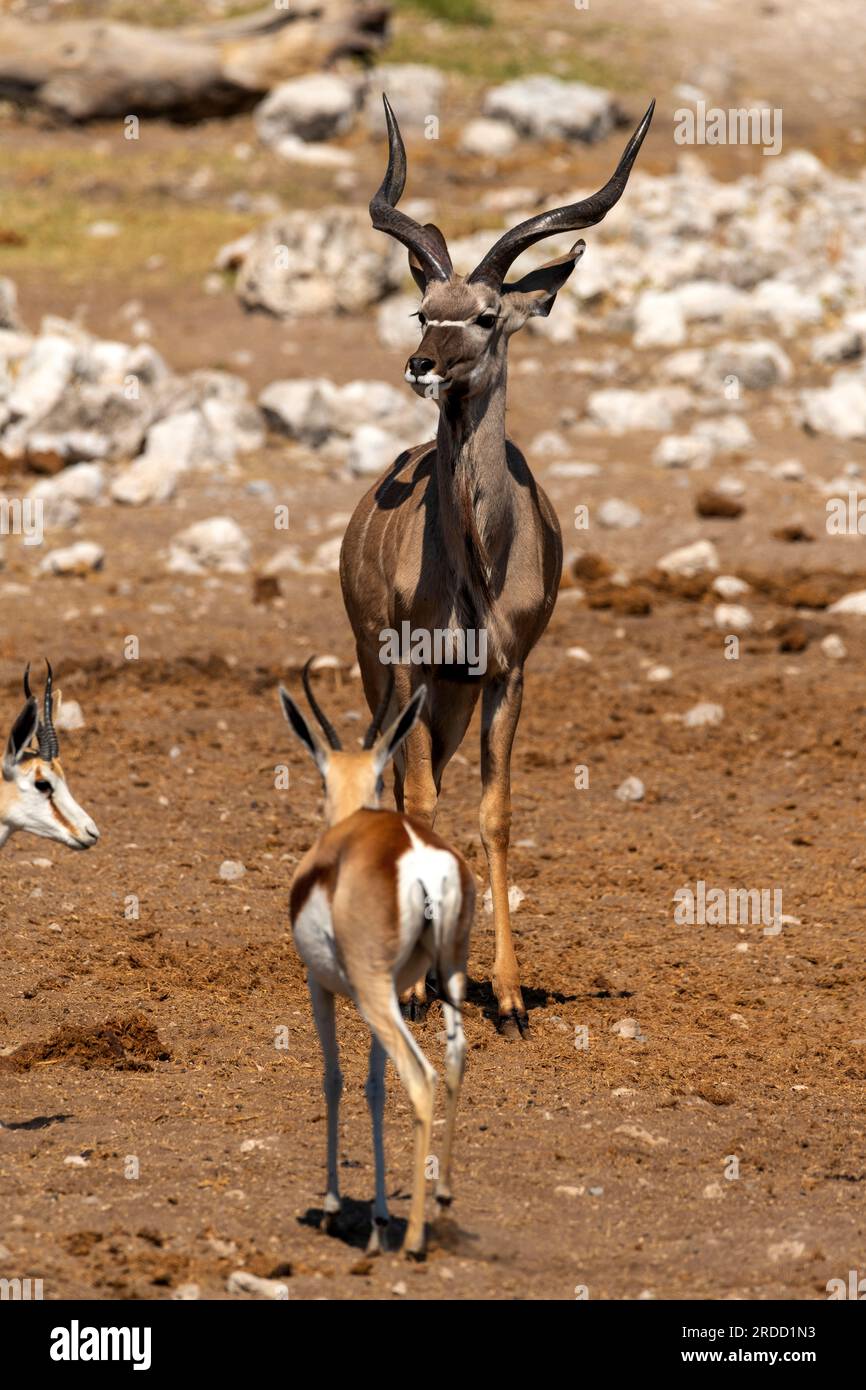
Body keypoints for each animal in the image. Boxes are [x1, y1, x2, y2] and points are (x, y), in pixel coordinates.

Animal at [279, 661, 475, 1260]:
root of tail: (418, 860)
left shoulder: (323, 988)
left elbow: (334, 1078)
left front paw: (334, 1207)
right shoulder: (386, 993)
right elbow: (374, 1087)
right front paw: (380, 1214)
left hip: (371, 992)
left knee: (421, 1077)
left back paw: (413, 1240)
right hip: (443, 978)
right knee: (455, 1058)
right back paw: (442, 1199)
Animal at [340, 95, 654, 1036]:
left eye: (485, 316)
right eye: (422, 311)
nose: (422, 365)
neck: (477, 567)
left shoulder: (507, 675)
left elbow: (495, 812)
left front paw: (510, 996)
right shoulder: (413, 666)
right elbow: (422, 806)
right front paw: (414, 987)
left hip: (450, 700)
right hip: (385, 674)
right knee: (387, 782)